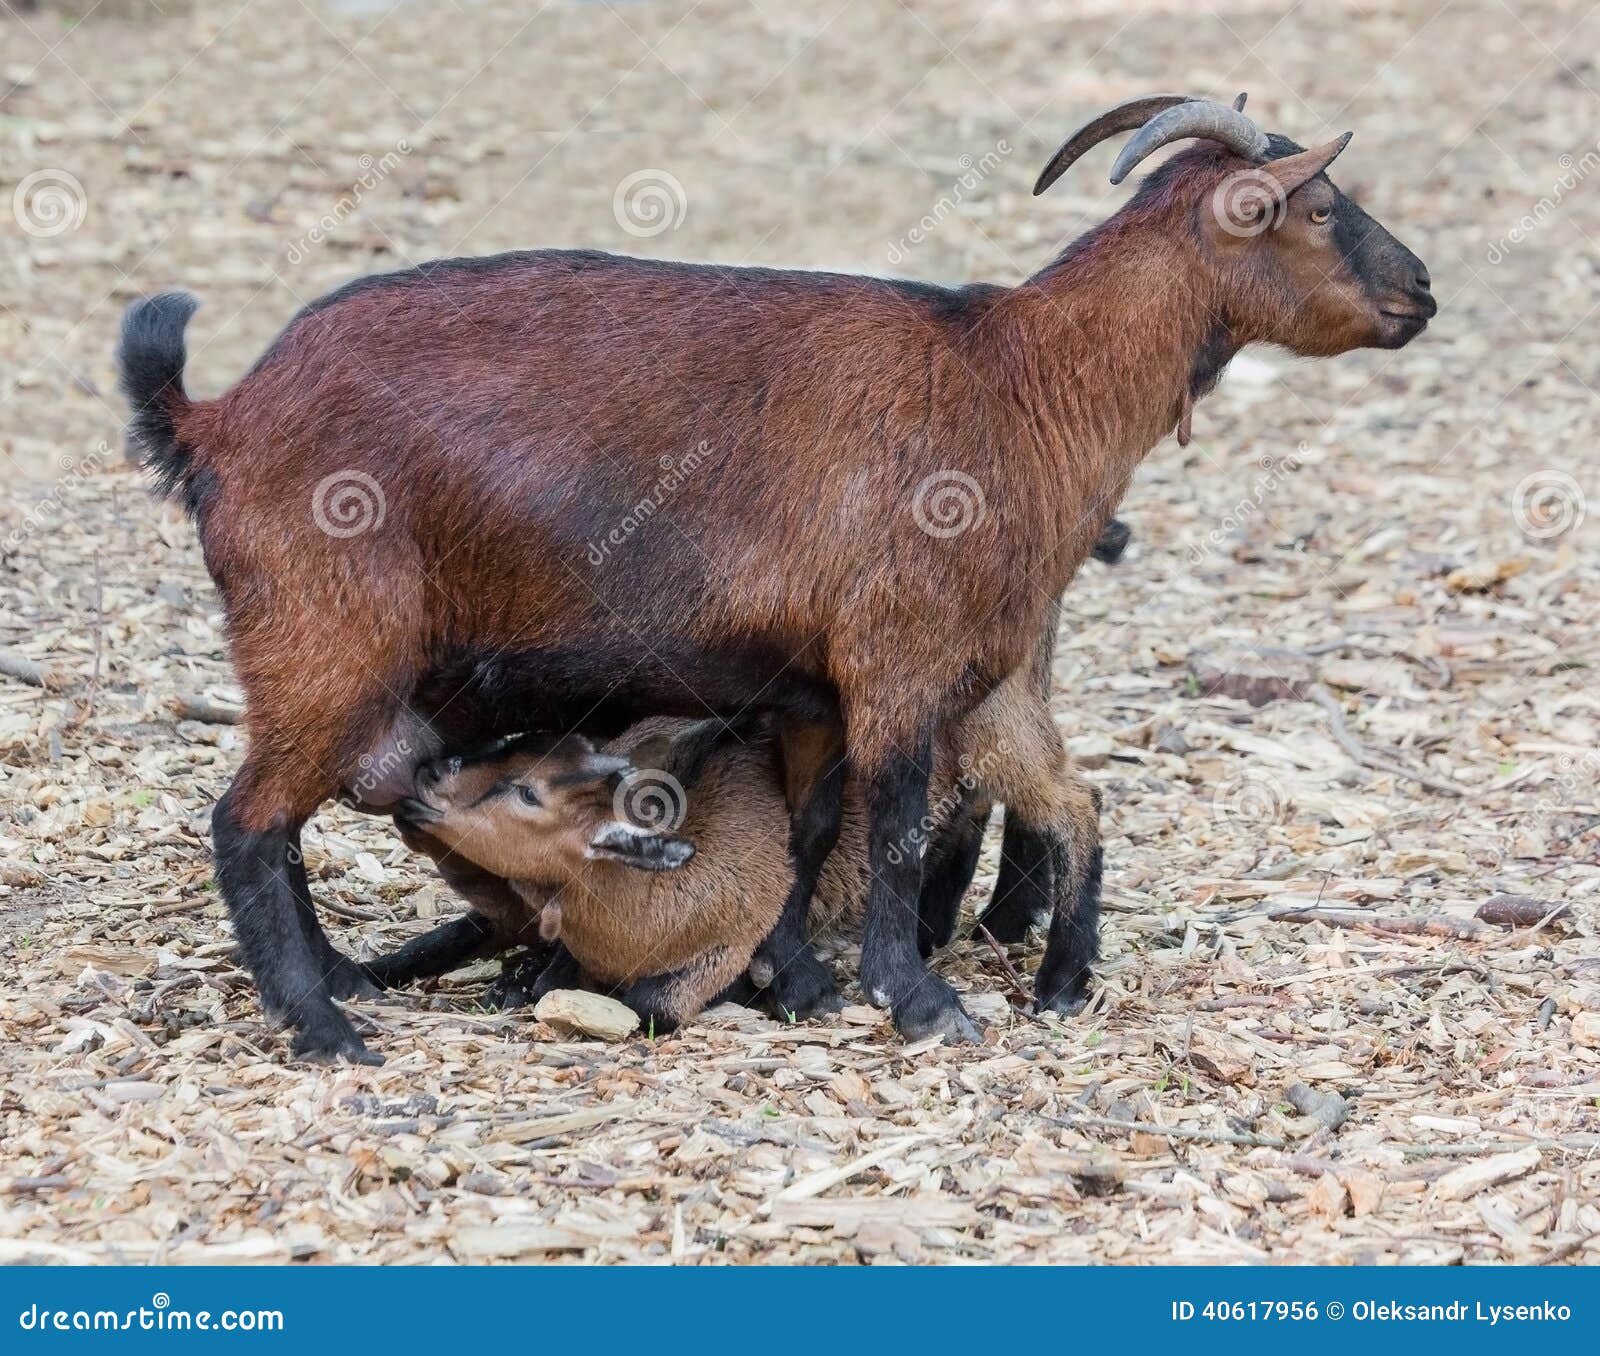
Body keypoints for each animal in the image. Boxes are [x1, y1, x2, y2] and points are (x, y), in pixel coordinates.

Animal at [119, 92, 1433, 1062]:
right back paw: (324, 1023)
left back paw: (349, 978)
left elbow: (811, 830)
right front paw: (919, 1000)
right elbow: (895, 821)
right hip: (325, 638)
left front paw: (797, 976)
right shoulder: (901, 657)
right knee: (248, 821)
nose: (1419, 291)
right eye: (1318, 205)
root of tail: (216, 418)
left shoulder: (811, 684)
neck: (1019, 381)